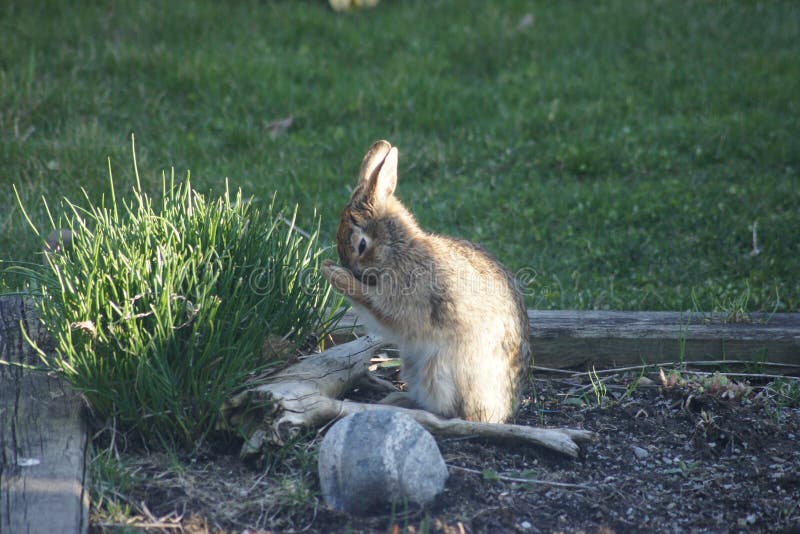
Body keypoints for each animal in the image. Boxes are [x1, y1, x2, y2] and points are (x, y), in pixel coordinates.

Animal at [322, 140, 530, 423]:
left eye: (361, 245)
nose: (349, 268)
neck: (399, 250)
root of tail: (499, 412)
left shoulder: (407, 302)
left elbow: (379, 308)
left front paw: (335, 275)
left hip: (438, 370)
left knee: (450, 412)